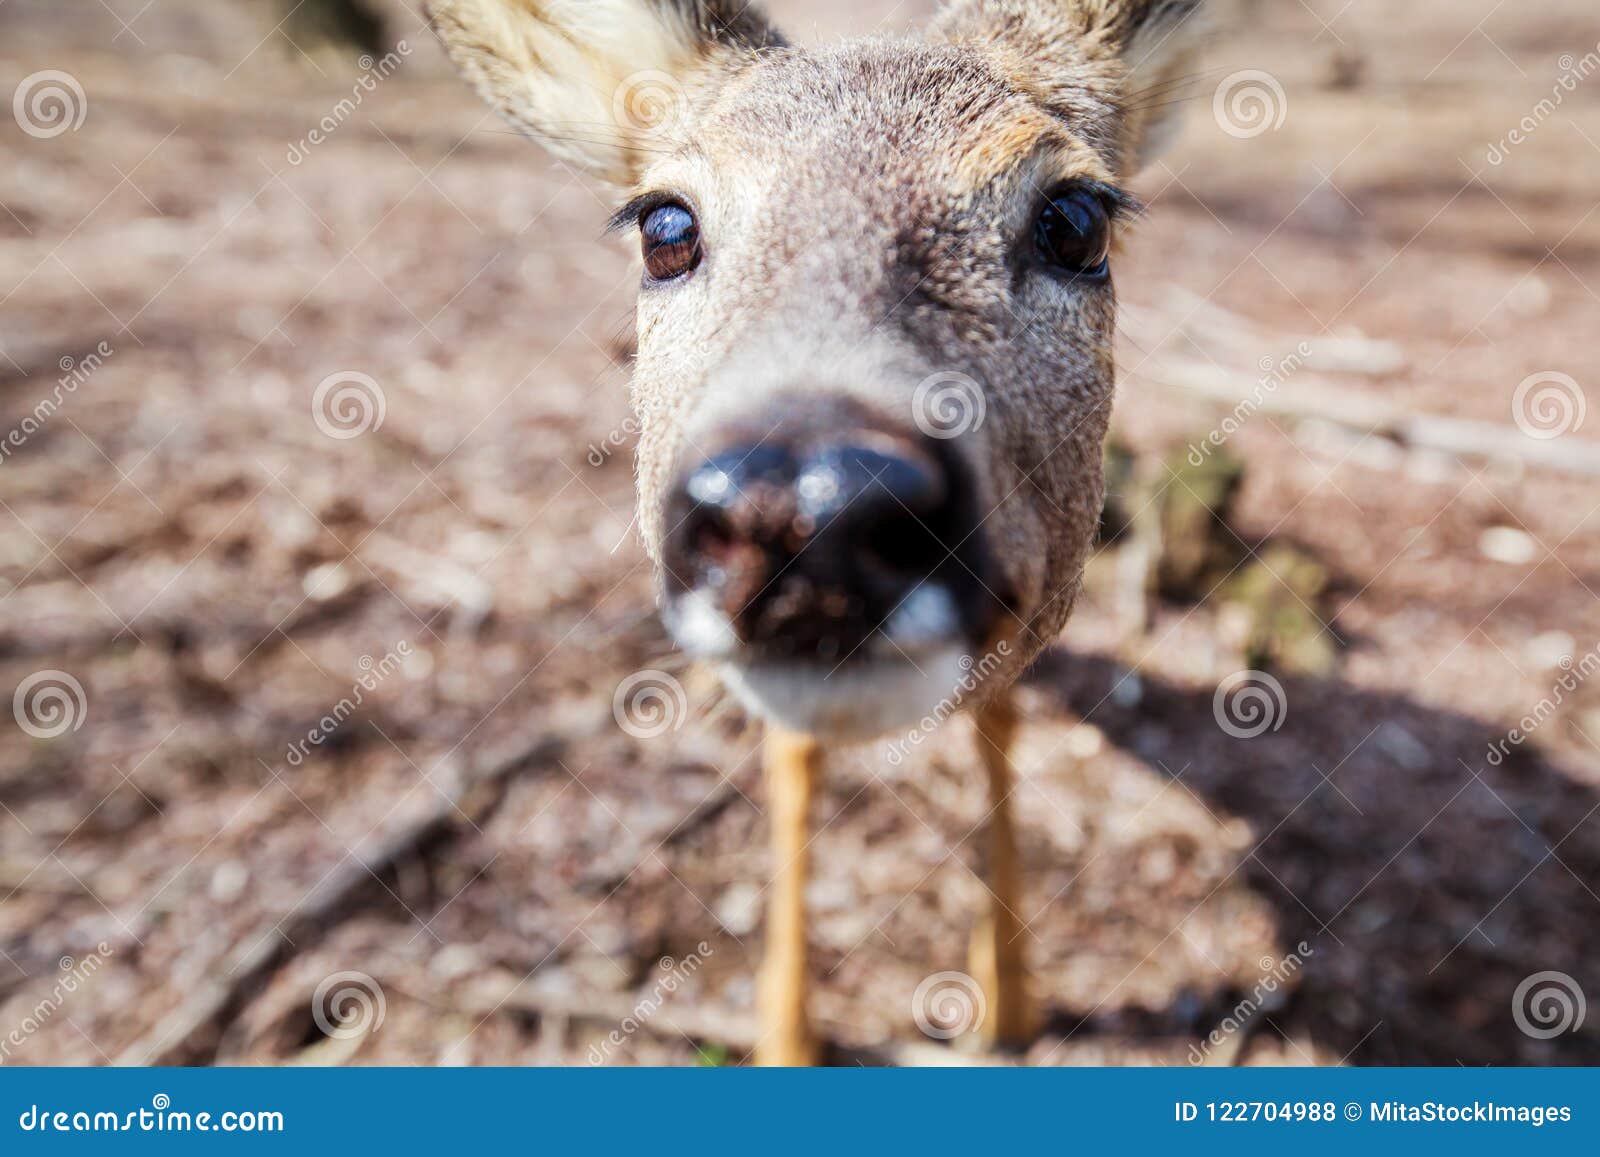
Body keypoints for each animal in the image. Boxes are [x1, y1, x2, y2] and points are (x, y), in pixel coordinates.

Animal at [426, 0, 1209, 1065]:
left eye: (1076, 221)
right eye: (664, 225)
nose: (805, 505)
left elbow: (998, 719)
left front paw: (1009, 1000)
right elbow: (794, 757)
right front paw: (786, 1029)